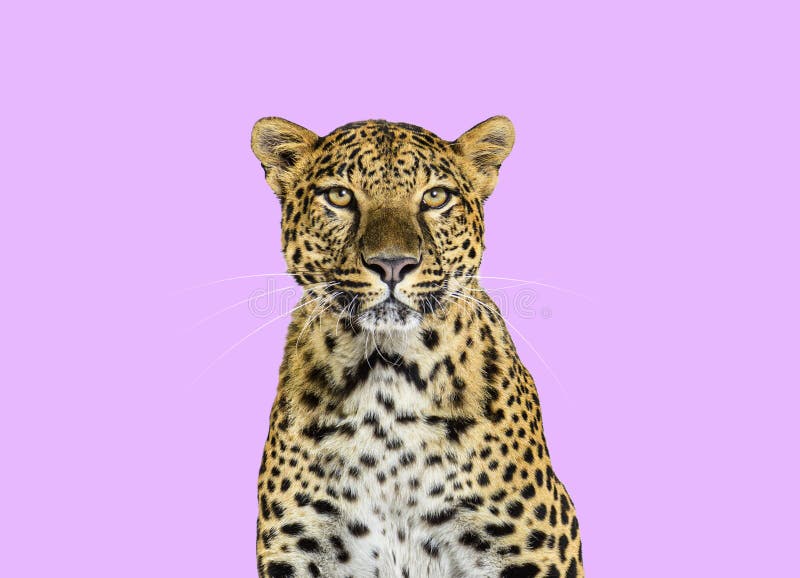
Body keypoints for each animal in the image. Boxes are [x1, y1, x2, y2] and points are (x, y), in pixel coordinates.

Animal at [249, 115, 584, 578]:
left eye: (436, 197)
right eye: (339, 196)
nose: (392, 263)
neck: (387, 376)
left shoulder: (530, 549)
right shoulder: (299, 548)